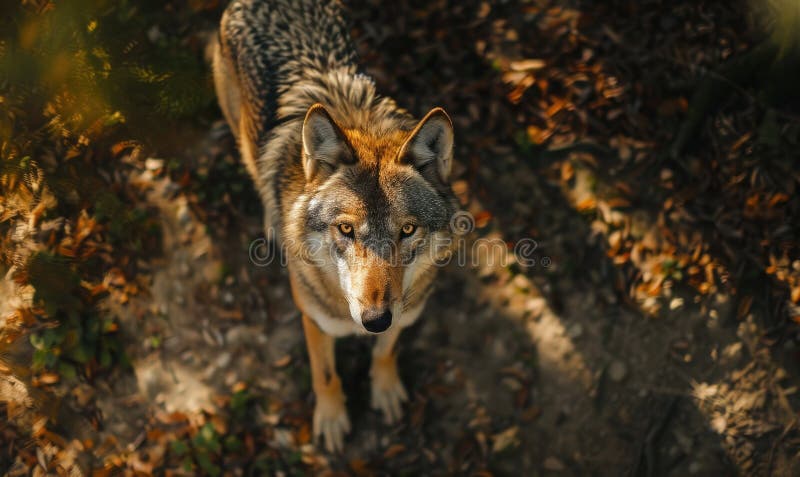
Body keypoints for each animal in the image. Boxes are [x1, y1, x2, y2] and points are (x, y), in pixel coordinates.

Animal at [212, 0, 458, 452]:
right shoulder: (314, 321)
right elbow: (325, 375)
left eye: (407, 230)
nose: (375, 321)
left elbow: (385, 352)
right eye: (346, 230)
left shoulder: (404, 314)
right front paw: (330, 420)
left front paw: (385, 389)